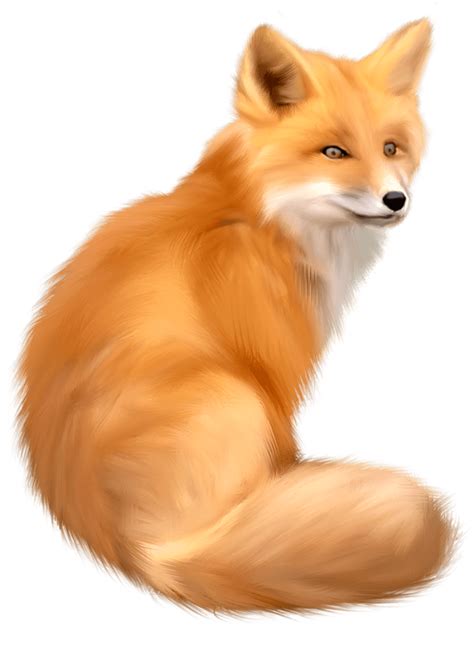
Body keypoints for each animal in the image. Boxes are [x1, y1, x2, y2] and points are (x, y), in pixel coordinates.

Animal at [18, 19, 454, 613]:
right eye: (334, 151)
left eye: (392, 147)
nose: (396, 200)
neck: (256, 215)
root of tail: (141, 555)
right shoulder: (272, 366)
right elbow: (286, 442)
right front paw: (295, 483)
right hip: (235, 395)